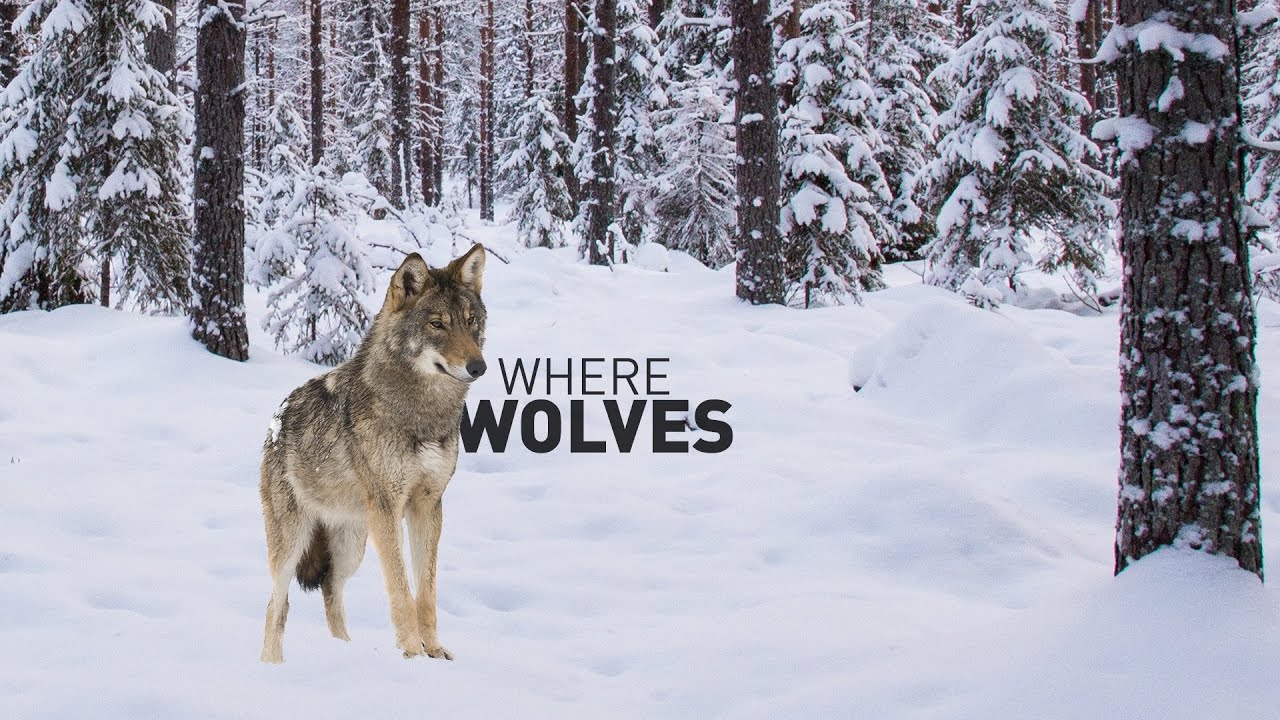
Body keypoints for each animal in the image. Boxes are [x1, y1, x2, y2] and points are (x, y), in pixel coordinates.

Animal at [258, 245, 488, 663]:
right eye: (437, 324)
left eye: (470, 321)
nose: (478, 366)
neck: (422, 414)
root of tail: (275, 422)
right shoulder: (387, 506)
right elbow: (400, 589)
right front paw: (412, 653)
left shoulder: (428, 505)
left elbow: (426, 591)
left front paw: (434, 652)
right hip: (293, 544)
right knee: (276, 606)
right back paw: (273, 666)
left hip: (352, 546)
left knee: (331, 590)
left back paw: (345, 652)